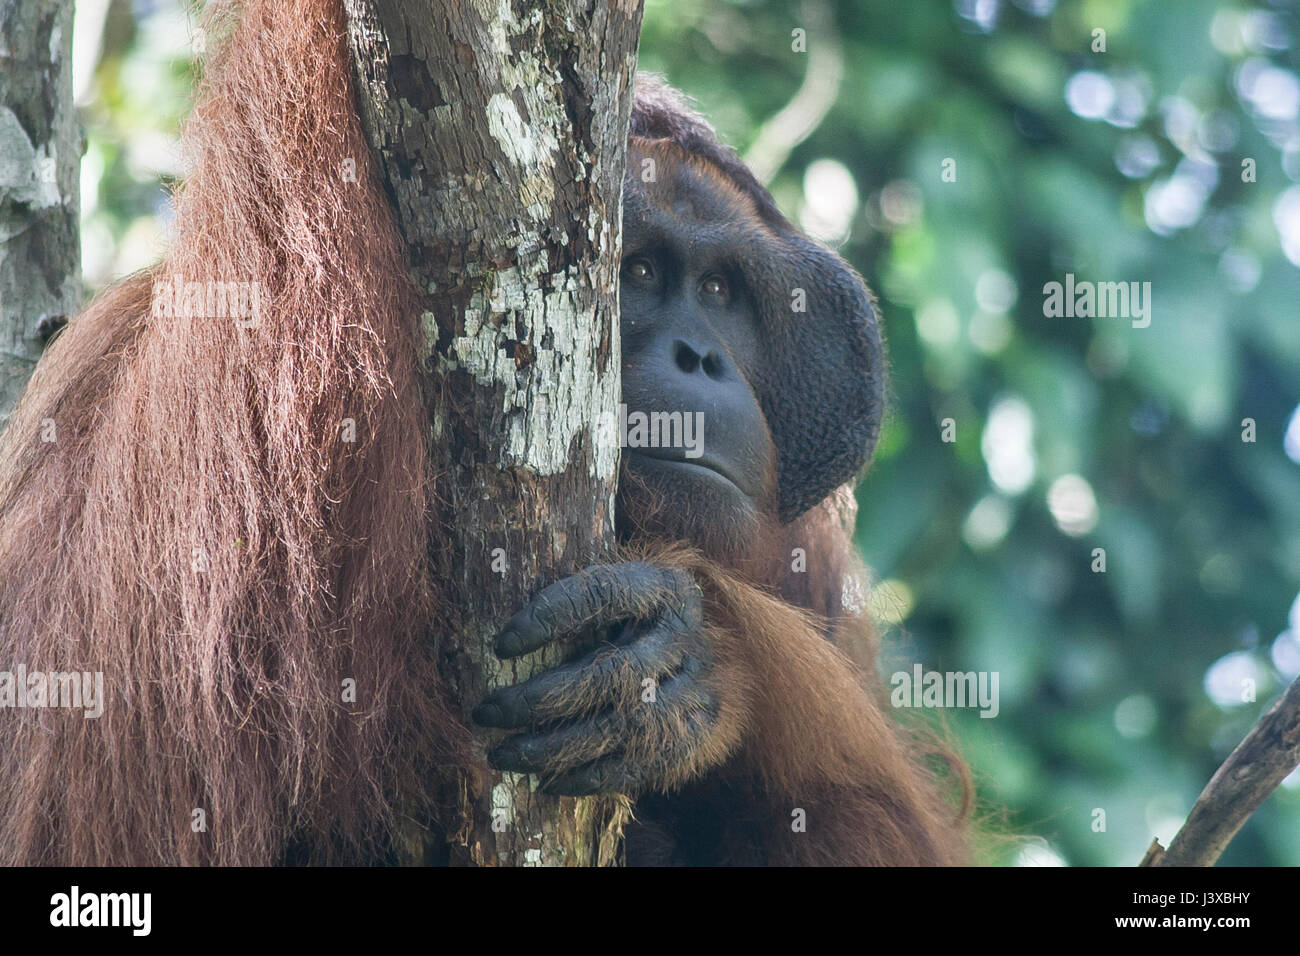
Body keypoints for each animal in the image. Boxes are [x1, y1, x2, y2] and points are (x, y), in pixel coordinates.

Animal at [0, 0, 968, 866]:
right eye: (640, 272)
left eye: (723, 291)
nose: (700, 358)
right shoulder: (105, 378)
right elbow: (129, 732)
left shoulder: (818, 565)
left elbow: (872, 826)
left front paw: (701, 660)